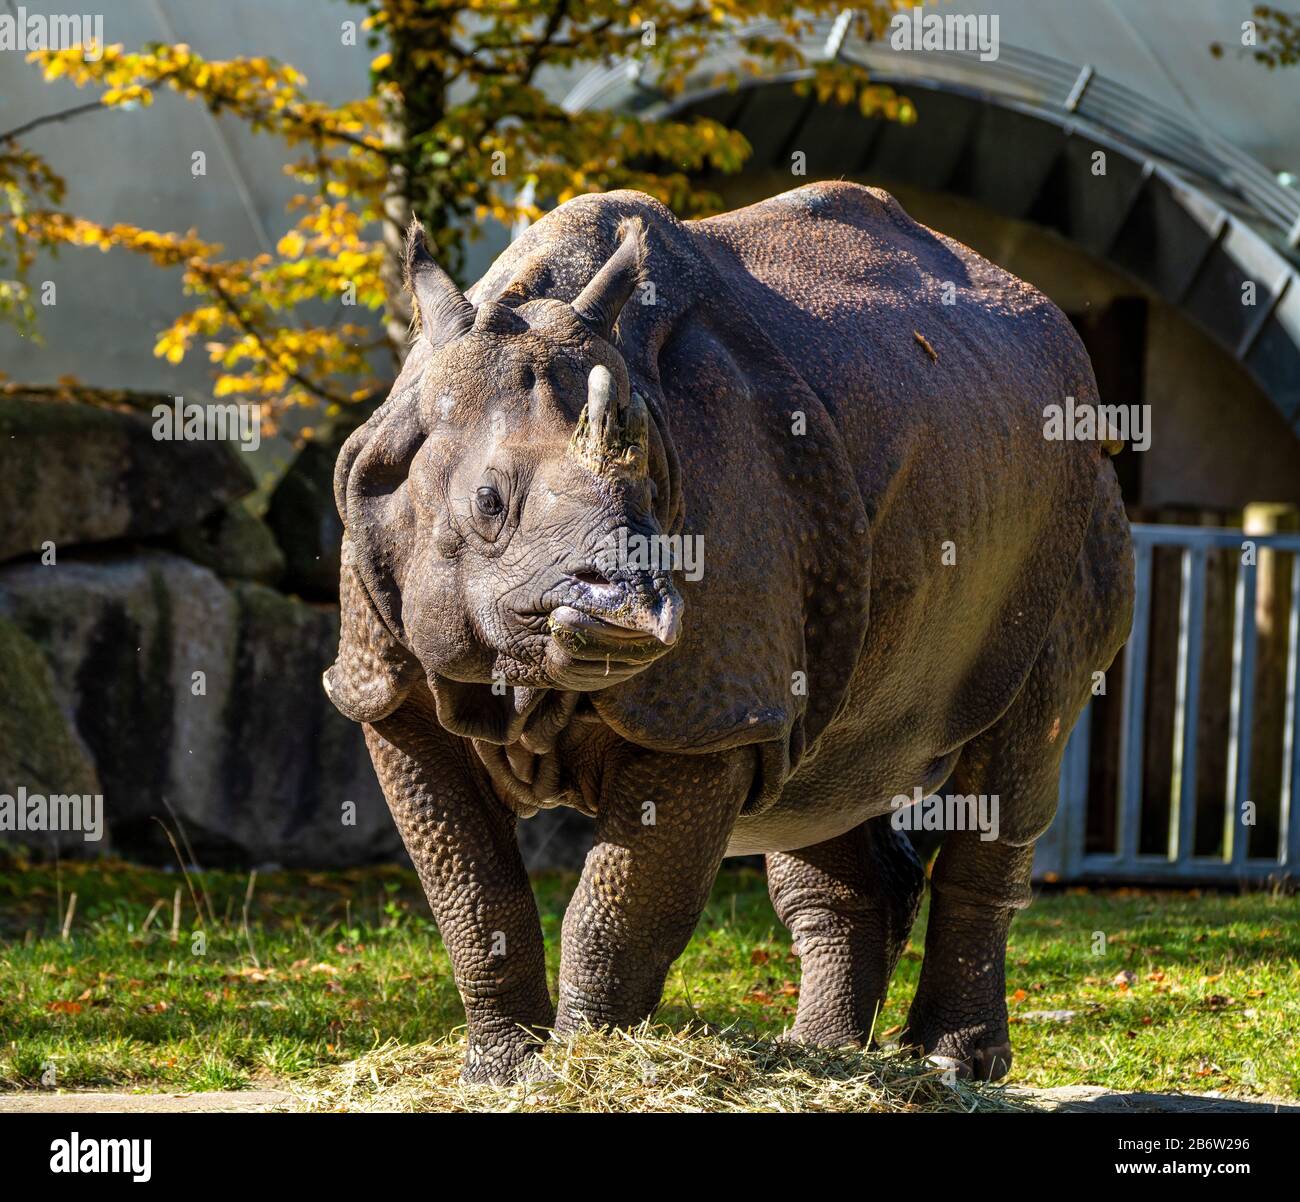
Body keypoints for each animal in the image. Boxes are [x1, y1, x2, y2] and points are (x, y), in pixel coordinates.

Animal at [325, 181, 1134, 1083]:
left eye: (655, 495)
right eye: (488, 504)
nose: (634, 613)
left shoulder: (708, 714)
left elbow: (618, 911)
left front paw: (589, 1064)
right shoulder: (384, 683)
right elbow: (474, 896)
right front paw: (502, 1073)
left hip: (1080, 499)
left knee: (1012, 756)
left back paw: (950, 1066)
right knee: (826, 774)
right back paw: (821, 1057)